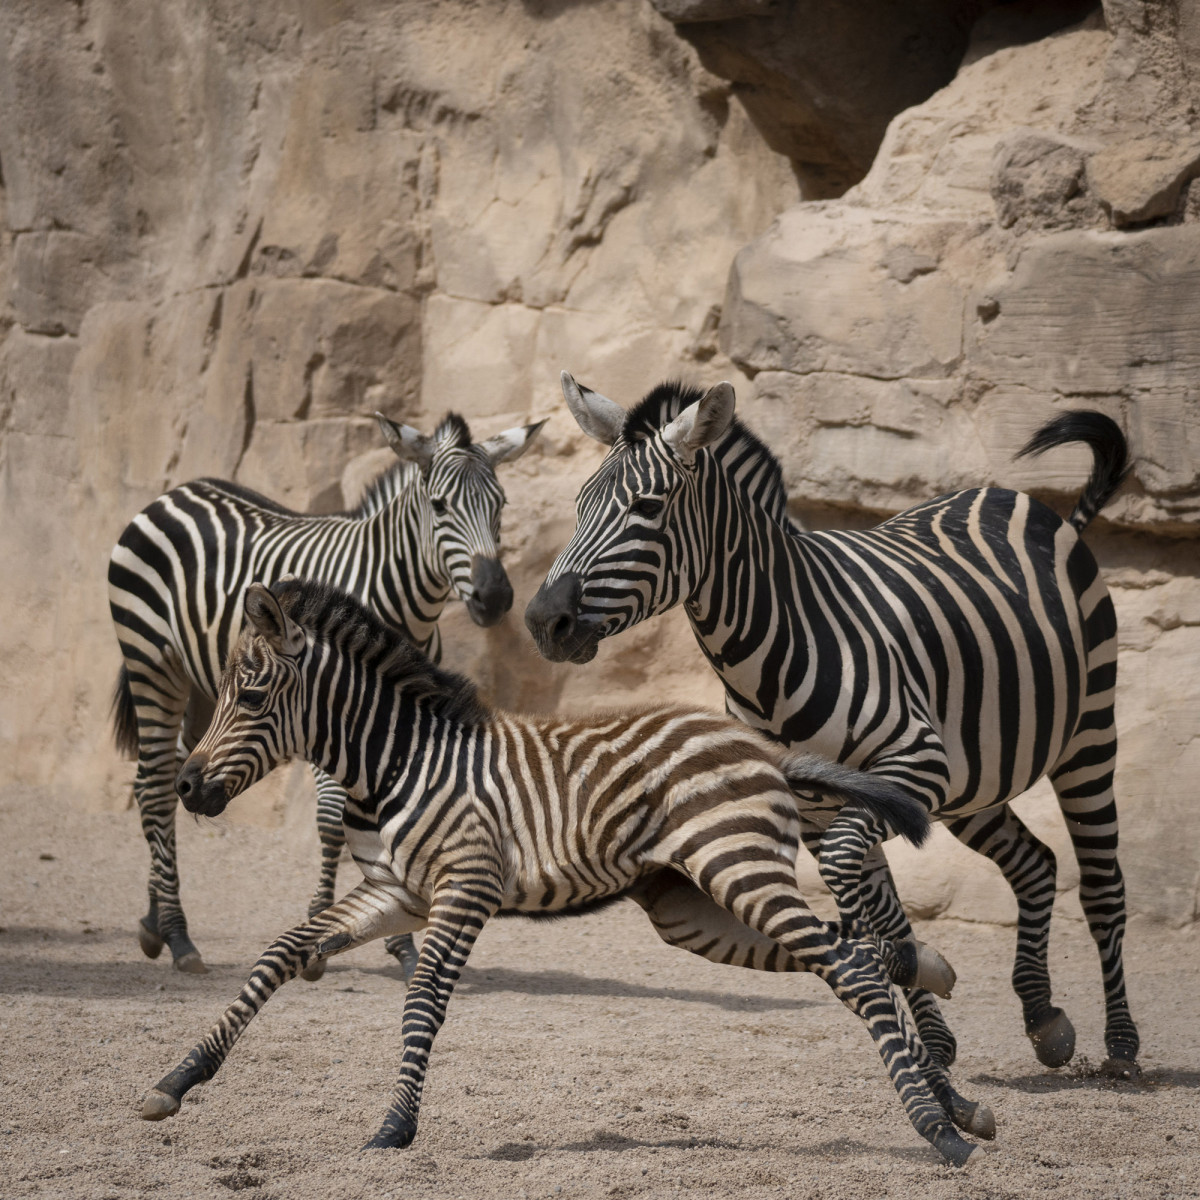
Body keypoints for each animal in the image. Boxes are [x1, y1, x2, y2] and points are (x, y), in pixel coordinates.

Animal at [108, 410, 543, 976]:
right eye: (439, 505)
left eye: (501, 505)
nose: (494, 599)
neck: (405, 606)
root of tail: (176, 491)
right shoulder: (330, 709)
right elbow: (334, 822)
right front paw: (323, 936)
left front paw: (400, 942)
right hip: (152, 664)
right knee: (159, 787)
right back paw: (179, 935)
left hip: (202, 685)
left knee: (154, 782)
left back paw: (153, 921)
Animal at [143, 577, 995, 1167]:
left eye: (253, 695)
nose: (188, 786)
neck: (403, 764)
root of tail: (767, 753)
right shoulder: (396, 893)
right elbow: (281, 951)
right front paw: (179, 1079)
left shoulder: (465, 889)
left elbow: (422, 1004)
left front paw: (392, 1127)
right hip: (687, 905)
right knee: (852, 955)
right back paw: (941, 1015)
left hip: (738, 870)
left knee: (847, 966)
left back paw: (939, 1133)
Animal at [525, 372, 1138, 1077]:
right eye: (580, 506)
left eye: (648, 508)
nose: (543, 621)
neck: (772, 651)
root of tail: (1020, 501)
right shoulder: (826, 803)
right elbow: (876, 905)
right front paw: (926, 1032)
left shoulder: (911, 763)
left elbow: (858, 882)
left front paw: (905, 984)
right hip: (973, 773)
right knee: (1035, 862)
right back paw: (1044, 1018)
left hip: (1087, 734)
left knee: (1102, 884)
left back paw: (1122, 1046)